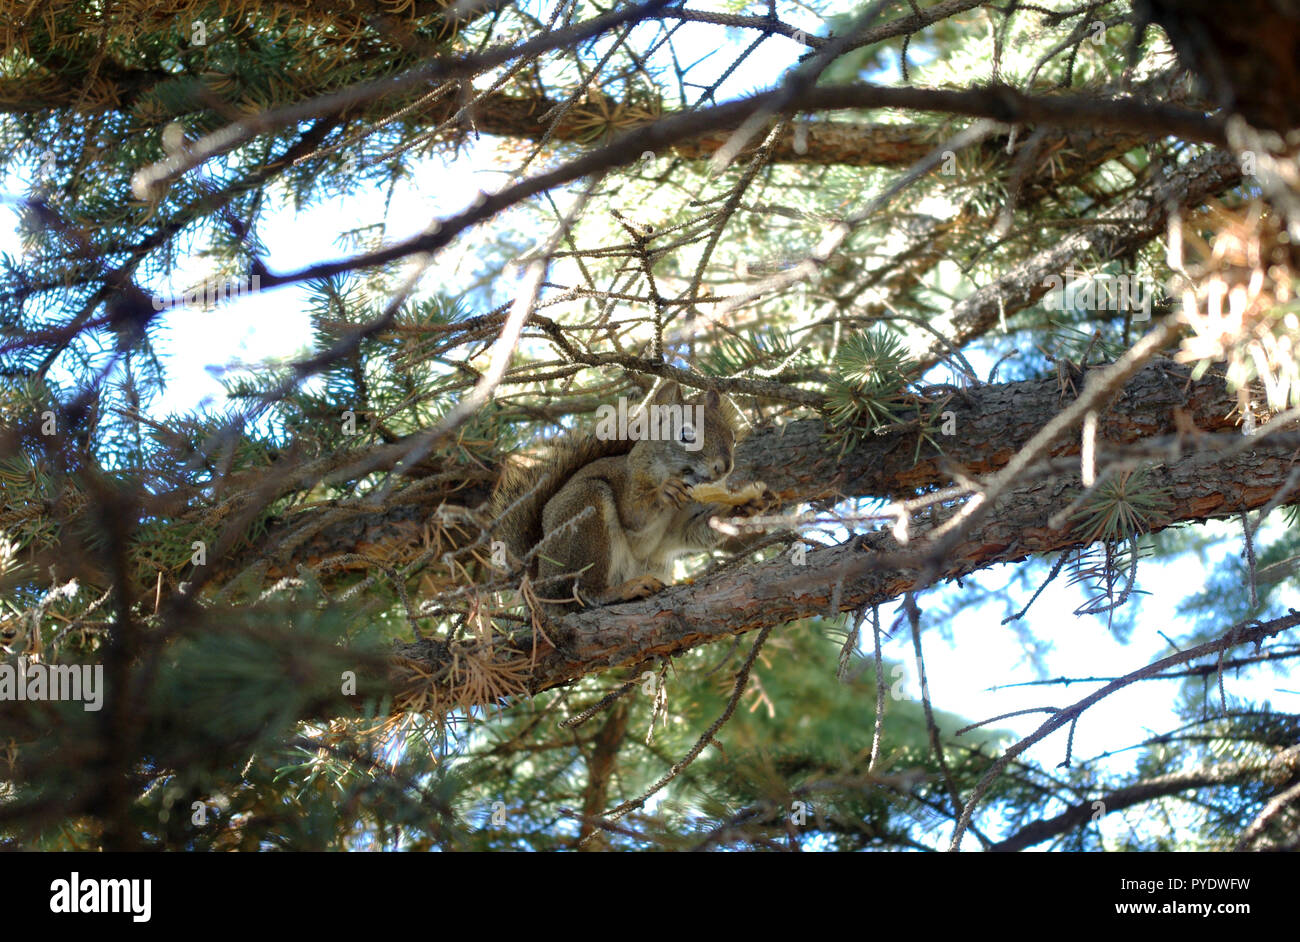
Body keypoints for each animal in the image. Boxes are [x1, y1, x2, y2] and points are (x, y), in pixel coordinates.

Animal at [490, 380, 762, 616]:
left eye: (732, 437)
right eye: (686, 435)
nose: (724, 467)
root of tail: (539, 585)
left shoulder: (683, 523)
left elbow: (698, 530)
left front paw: (747, 506)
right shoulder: (629, 484)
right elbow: (634, 515)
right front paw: (665, 492)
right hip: (586, 516)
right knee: (587, 591)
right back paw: (625, 589)